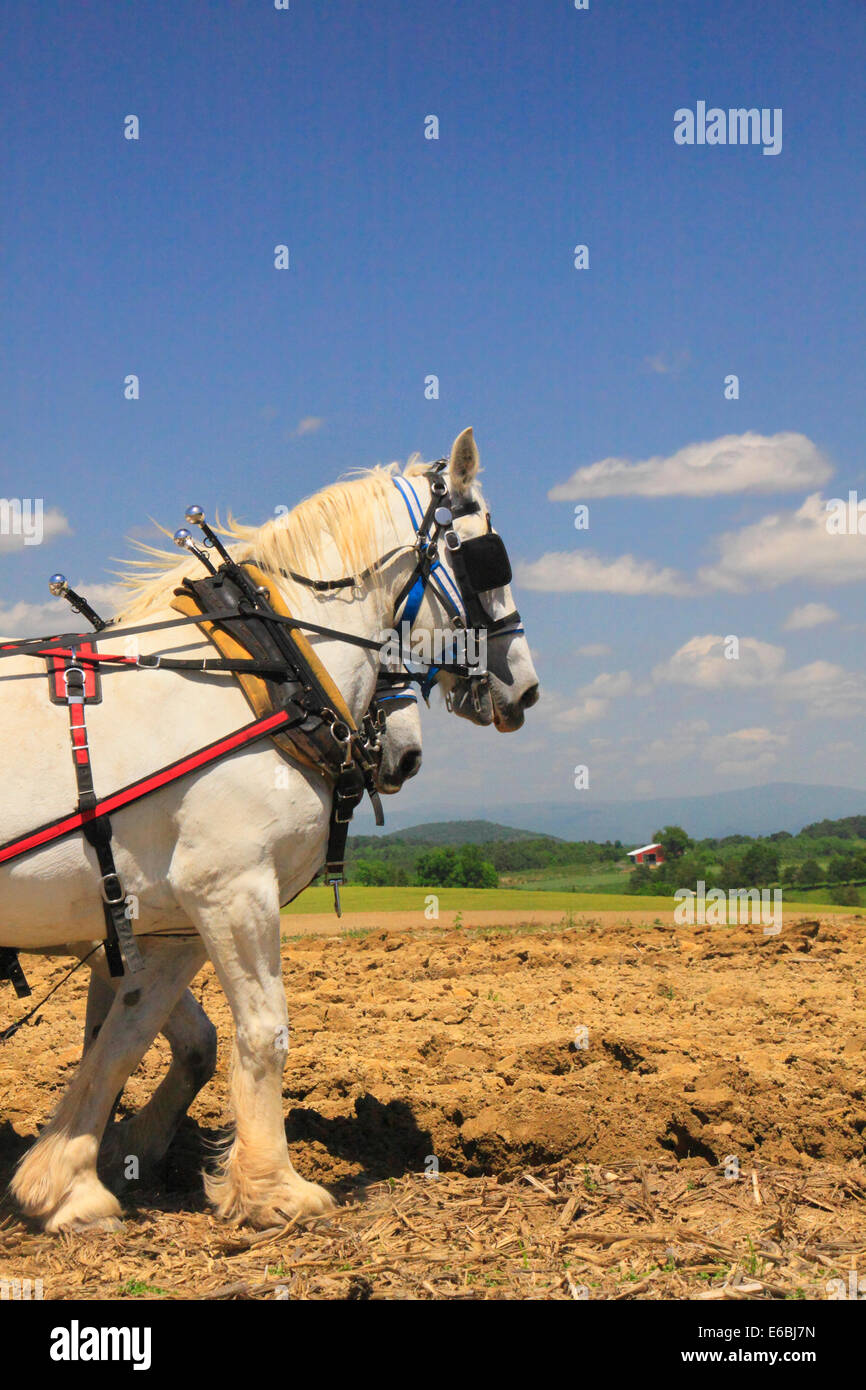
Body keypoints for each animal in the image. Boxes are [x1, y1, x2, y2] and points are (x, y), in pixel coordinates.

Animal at [0, 427, 539, 1231]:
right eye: (485, 553)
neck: (263, 678)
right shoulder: (231, 889)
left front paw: (66, 1181)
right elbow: (263, 1032)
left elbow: (123, 1041)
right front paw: (271, 1188)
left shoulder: (166, 923)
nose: (525, 686)